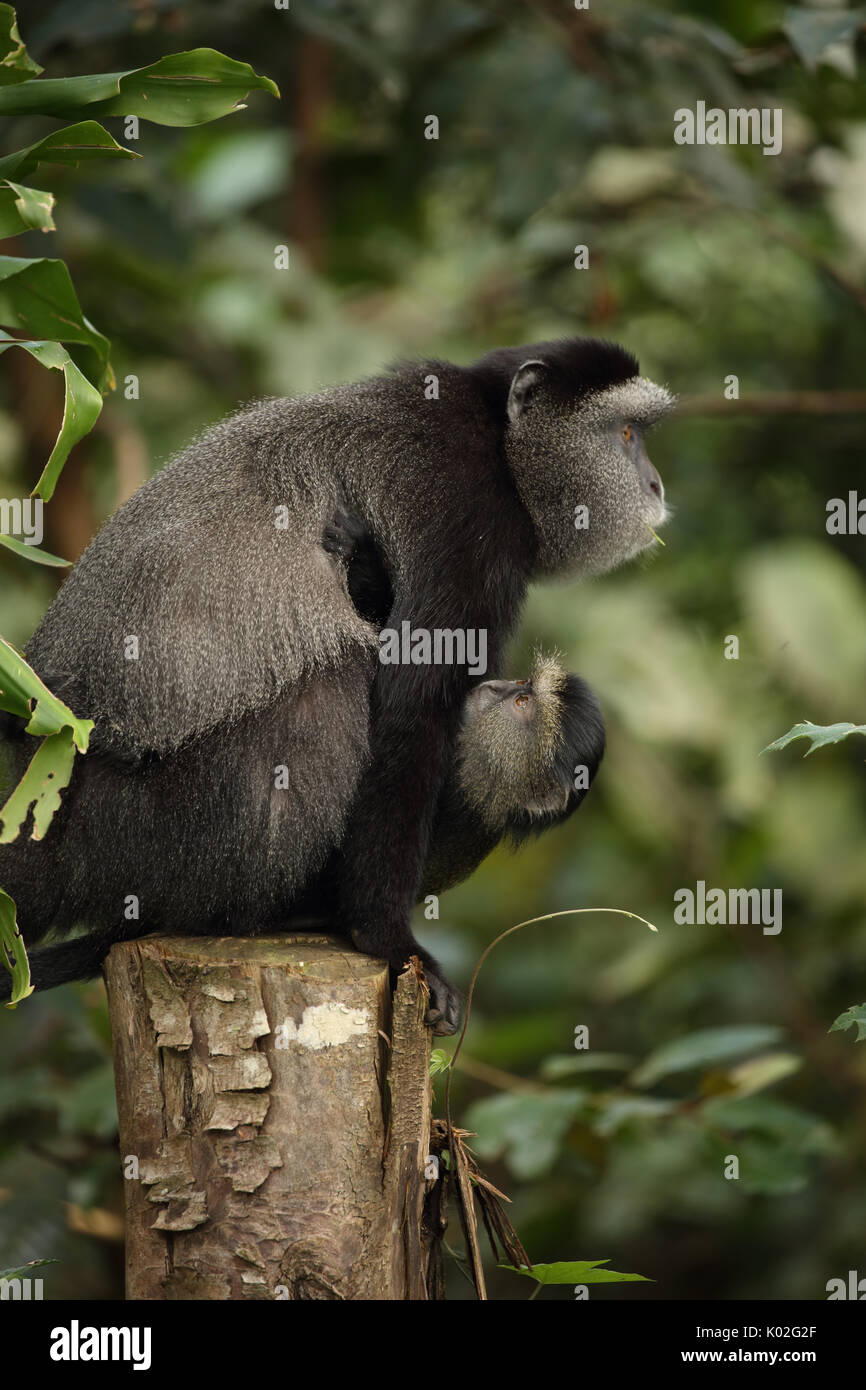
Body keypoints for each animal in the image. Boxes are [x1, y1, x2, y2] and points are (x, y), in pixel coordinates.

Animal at [0, 338, 672, 1031]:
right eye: (626, 434)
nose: (654, 485)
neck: (500, 442)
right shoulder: (470, 518)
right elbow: (413, 714)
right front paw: (391, 942)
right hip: (135, 829)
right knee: (322, 692)